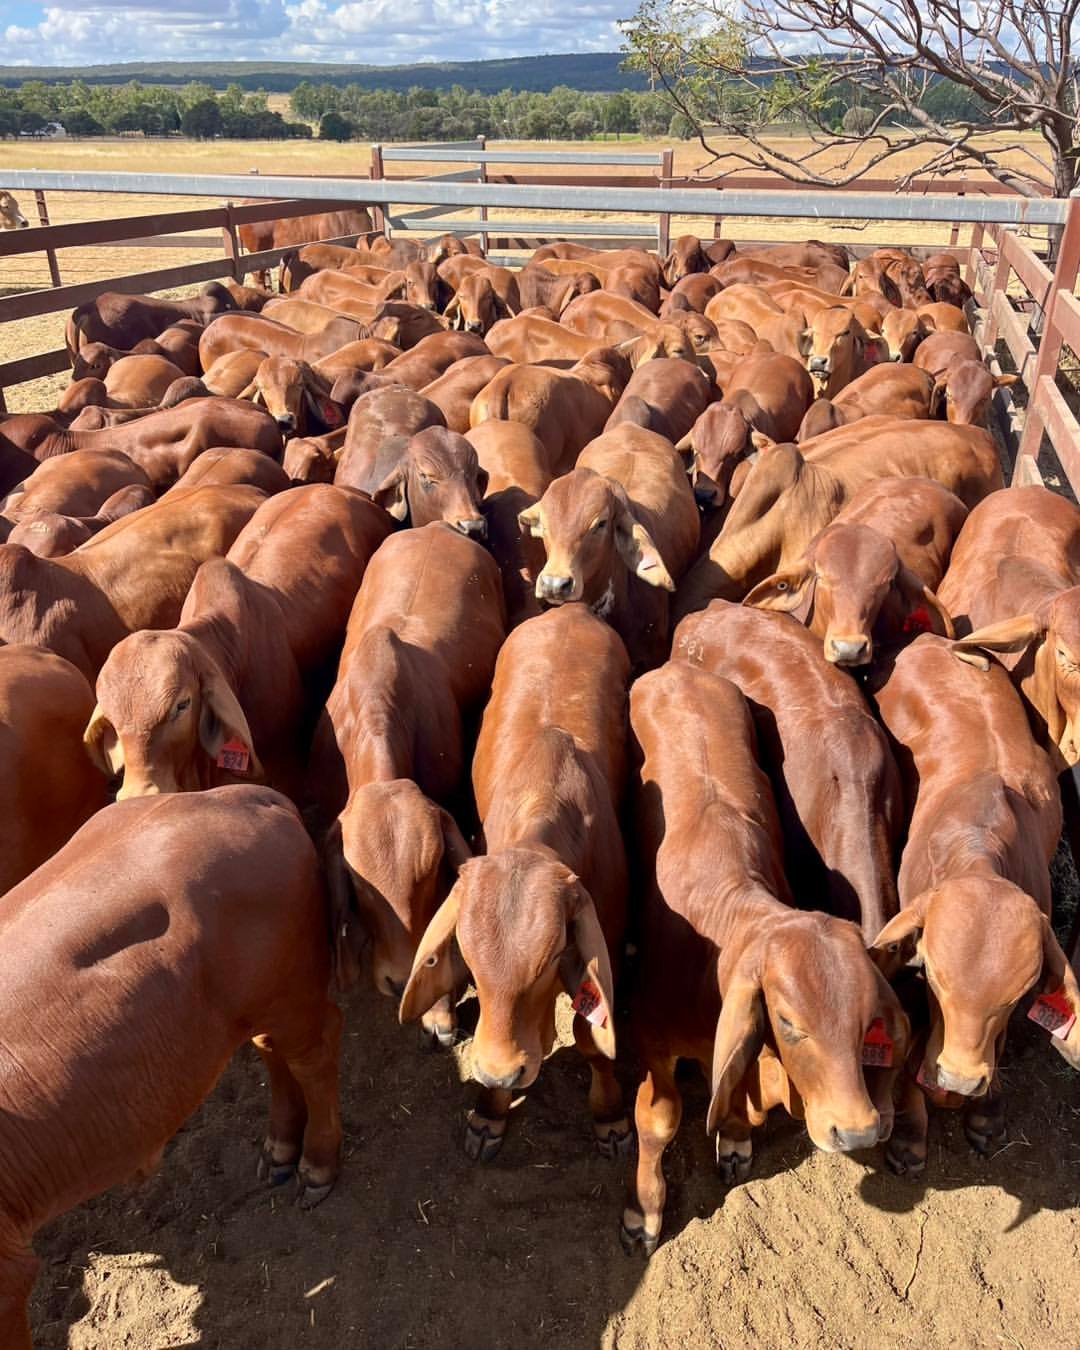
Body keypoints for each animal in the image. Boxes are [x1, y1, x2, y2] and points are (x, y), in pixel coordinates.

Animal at [0, 786, 342, 1350]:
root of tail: (241, 795)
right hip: (259, 1002)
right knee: (274, 1053)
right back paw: (279, 1149)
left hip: (291, 992)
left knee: (314, 1058)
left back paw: (317, 1163)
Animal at [400, 605, 631, 1162]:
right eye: (465, 954)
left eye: (551, 959)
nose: (500, 1071)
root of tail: (571, 609)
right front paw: (490, 1109)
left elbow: (592, 1037)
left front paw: (610, 1116)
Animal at [622, 660, 908, 1254]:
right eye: (788, 1022)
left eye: (866, 1022)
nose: (858, 1130)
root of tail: (676, 668)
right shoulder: (651, 1041)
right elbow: (659, 1121)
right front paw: (644, 1211)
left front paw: (733, 1136)